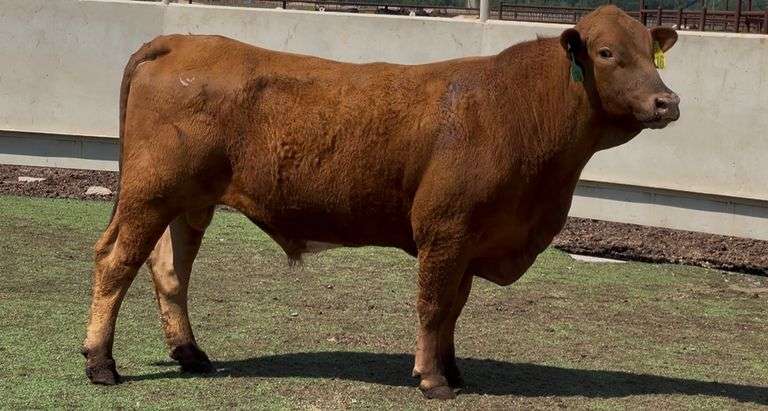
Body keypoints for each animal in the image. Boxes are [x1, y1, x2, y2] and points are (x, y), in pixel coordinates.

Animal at [82, 5, 680, 399]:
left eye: (650, 54)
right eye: (607, 53)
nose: (667, 101)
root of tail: (182, 42)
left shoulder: (469, 240)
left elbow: (454, 308)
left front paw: (452, 368)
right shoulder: (445, 229)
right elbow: (433, 304)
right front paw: (432, 379)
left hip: (189, 203)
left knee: (170, 270)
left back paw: (191, 354)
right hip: (149, 194)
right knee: (115, 262)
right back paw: (101, 363)